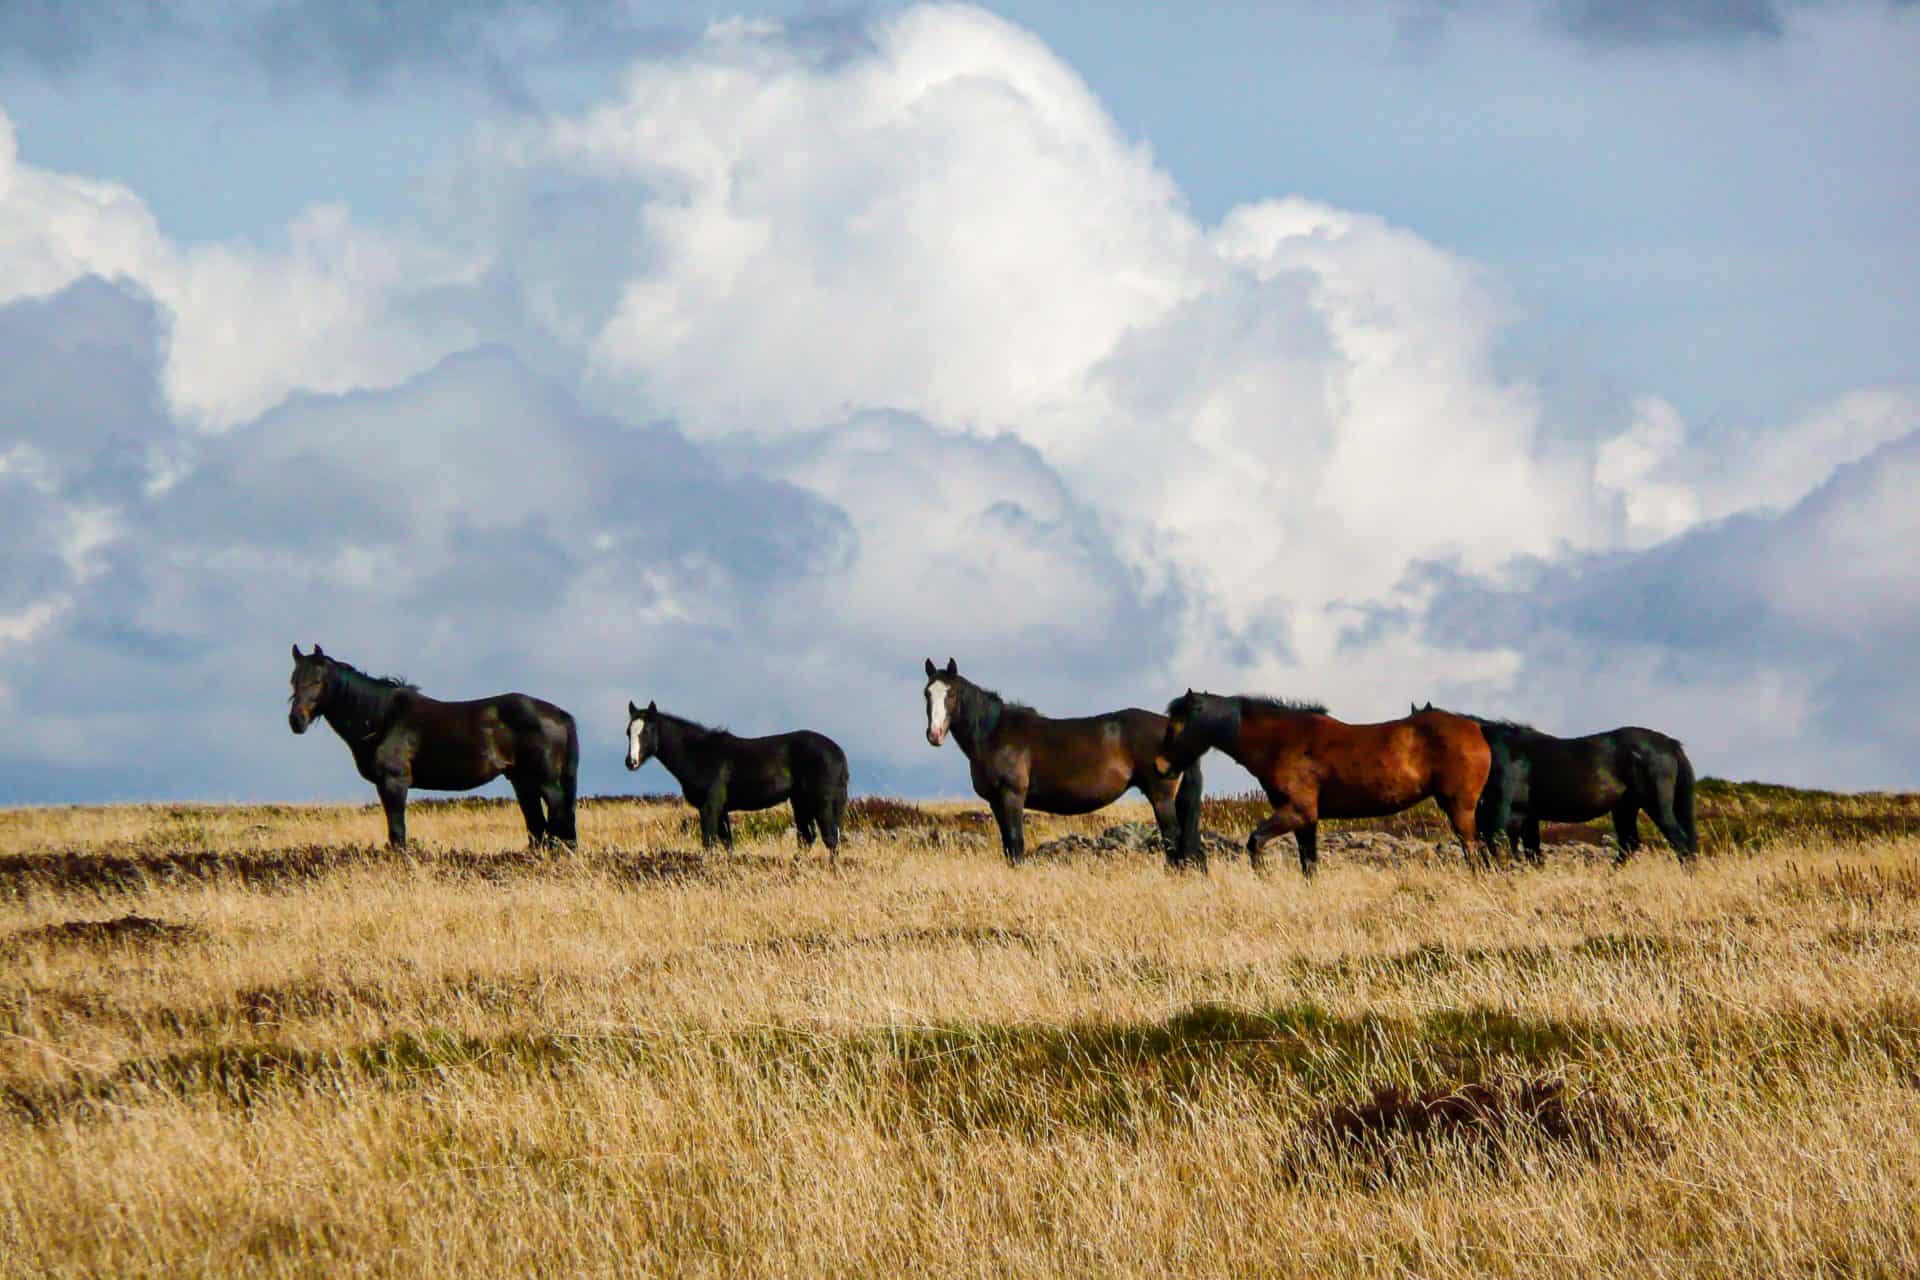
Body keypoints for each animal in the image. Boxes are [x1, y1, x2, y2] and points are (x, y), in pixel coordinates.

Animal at [287, 645, 579, 849]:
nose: (296, 720)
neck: (384, 717)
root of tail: (559, 713)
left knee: (558, 820)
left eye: (317, 681)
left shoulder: (394, 782)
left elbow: (397, 833)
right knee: (537, 827)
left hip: (545, 782)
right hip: (522, 781)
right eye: (293, 680)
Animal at [625, 700, 850, 862]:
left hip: (821, 803)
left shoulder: (710, 806)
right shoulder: (721, 809)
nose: (631, 762)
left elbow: (708, 842)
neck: (699, 755)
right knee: (808, 838)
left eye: (648, 731)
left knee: (830, 838)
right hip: (801, 803)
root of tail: (838, 752)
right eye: (628, 732)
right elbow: (727, 843)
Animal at [921, 658, 1205, 868]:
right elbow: (1007, 846)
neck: (994, 733)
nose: (934, 734)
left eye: (952, 693)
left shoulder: (1012, 795)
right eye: (927, 693)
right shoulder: (995, 802)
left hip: (1161, 797)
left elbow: (1016, 843)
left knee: (1174, 841)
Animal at [1156, 691, 1490, 877]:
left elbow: (1256, 842)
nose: (1160, 765)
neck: (1284, 742)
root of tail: (1476, 728)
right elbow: (1309, 864)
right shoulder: (1306, 820)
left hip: (1459, 807)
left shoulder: (1298, 812)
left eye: (1178, 724)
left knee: (1474, 850)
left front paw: (1264, 878)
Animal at [1413, 704, 1696, 865]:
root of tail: (1669, 744)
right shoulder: (1526, 816)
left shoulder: (1506, 814)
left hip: (1655, 805)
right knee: (1629, 846)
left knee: (1681, 845)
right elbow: (1531, 854)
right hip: (1625, 808)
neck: (1495, 752)